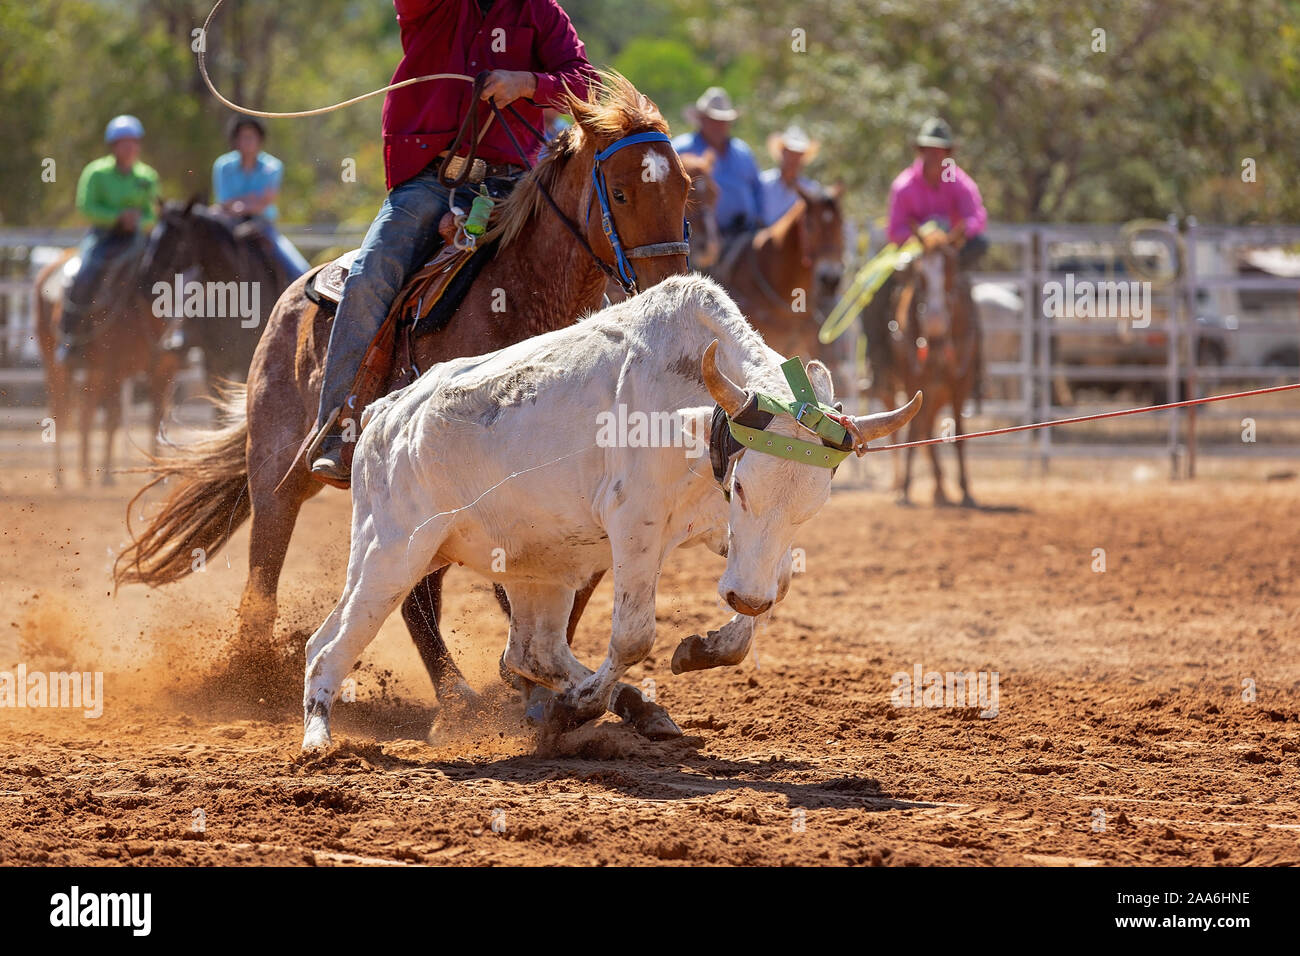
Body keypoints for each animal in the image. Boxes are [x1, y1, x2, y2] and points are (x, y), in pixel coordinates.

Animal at [301, 275, 922, 751]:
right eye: (743, 487)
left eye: (812, 508)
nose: (746, 598)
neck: (689, 404)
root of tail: (383, 414)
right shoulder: (635, 525)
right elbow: (632, 637)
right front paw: (580, 708)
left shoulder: (721, 534)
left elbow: (778, 584)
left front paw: (704, 648)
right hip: (394, 555)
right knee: (330, 648)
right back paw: (319, 741)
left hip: (531, 569)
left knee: (529, 651)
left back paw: (626, 706)